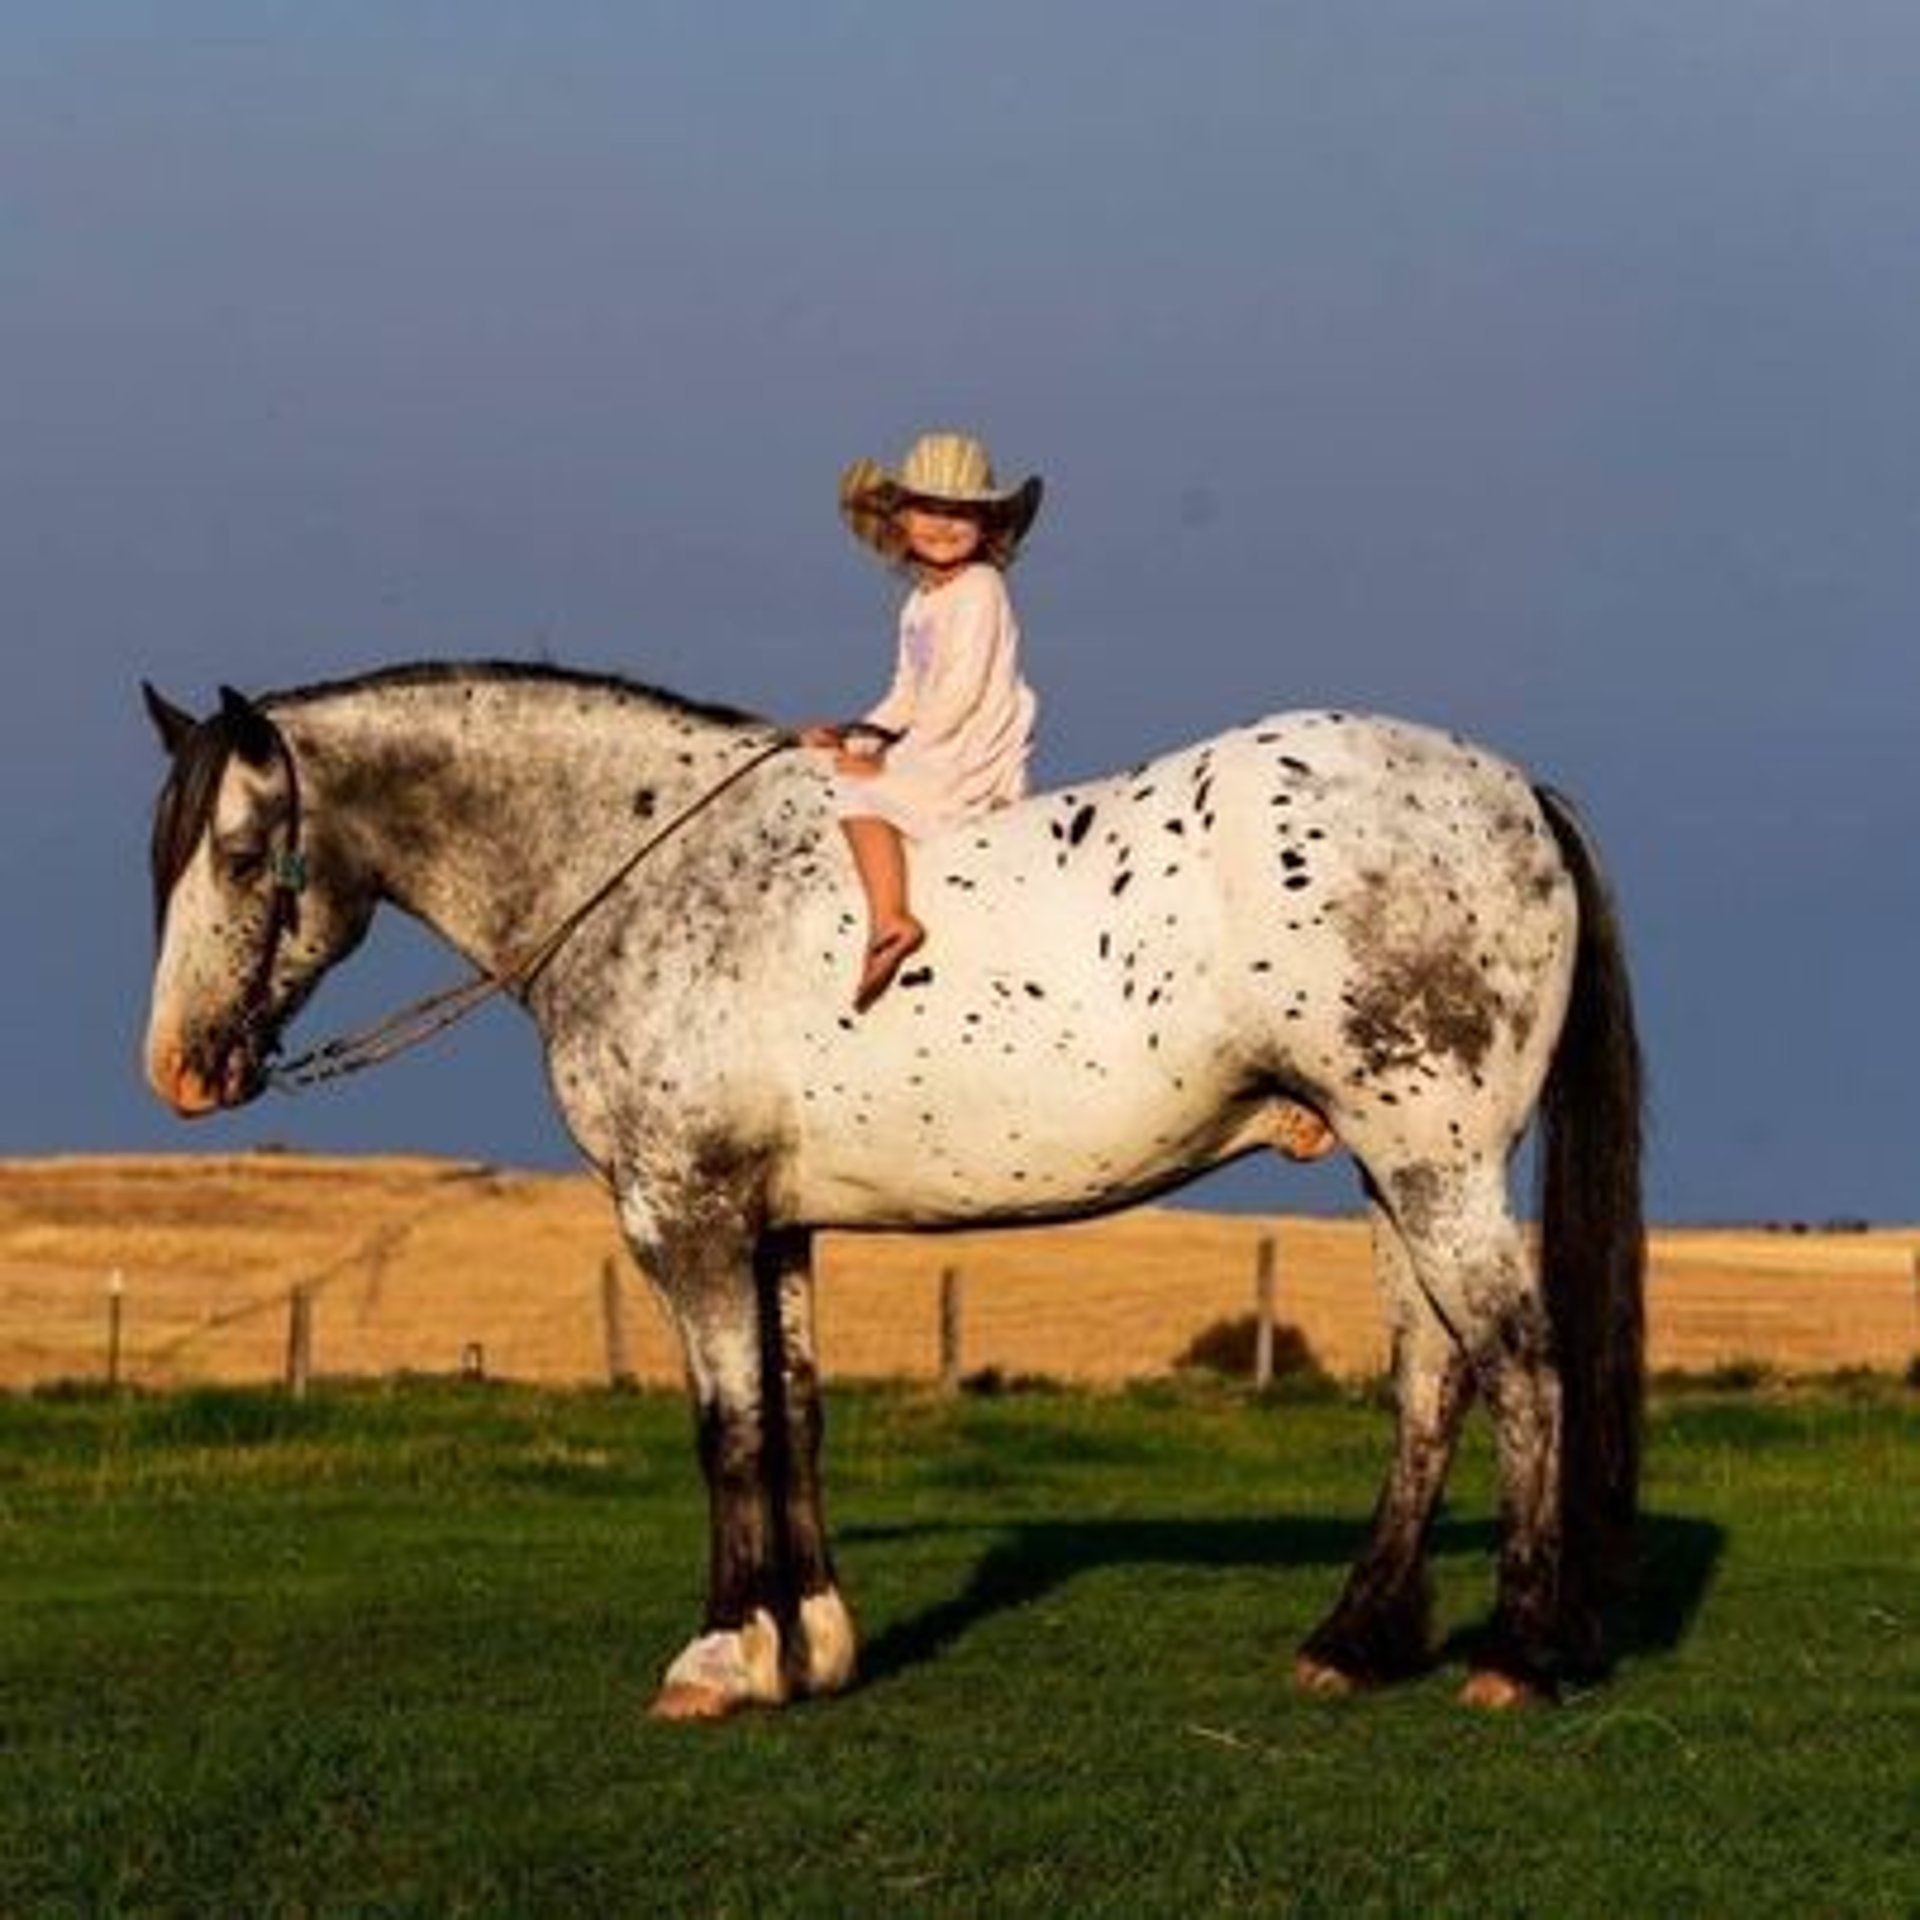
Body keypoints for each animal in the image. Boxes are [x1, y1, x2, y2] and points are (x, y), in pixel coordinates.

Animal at [140, 662, 1644, 1718]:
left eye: (236, 855)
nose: (180, 1071)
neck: (651, 878)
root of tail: (1516, 790)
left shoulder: (684, 1220)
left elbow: (726, 1429)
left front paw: (722, 1657)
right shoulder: (777, 1227)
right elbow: (792, 1417)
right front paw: (811, 1643)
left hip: (1435, 1164)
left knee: (1524, 1367)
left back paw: (1518, 1651)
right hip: (1398, 1176)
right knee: (1432, 1380)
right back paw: (1356, 1640)